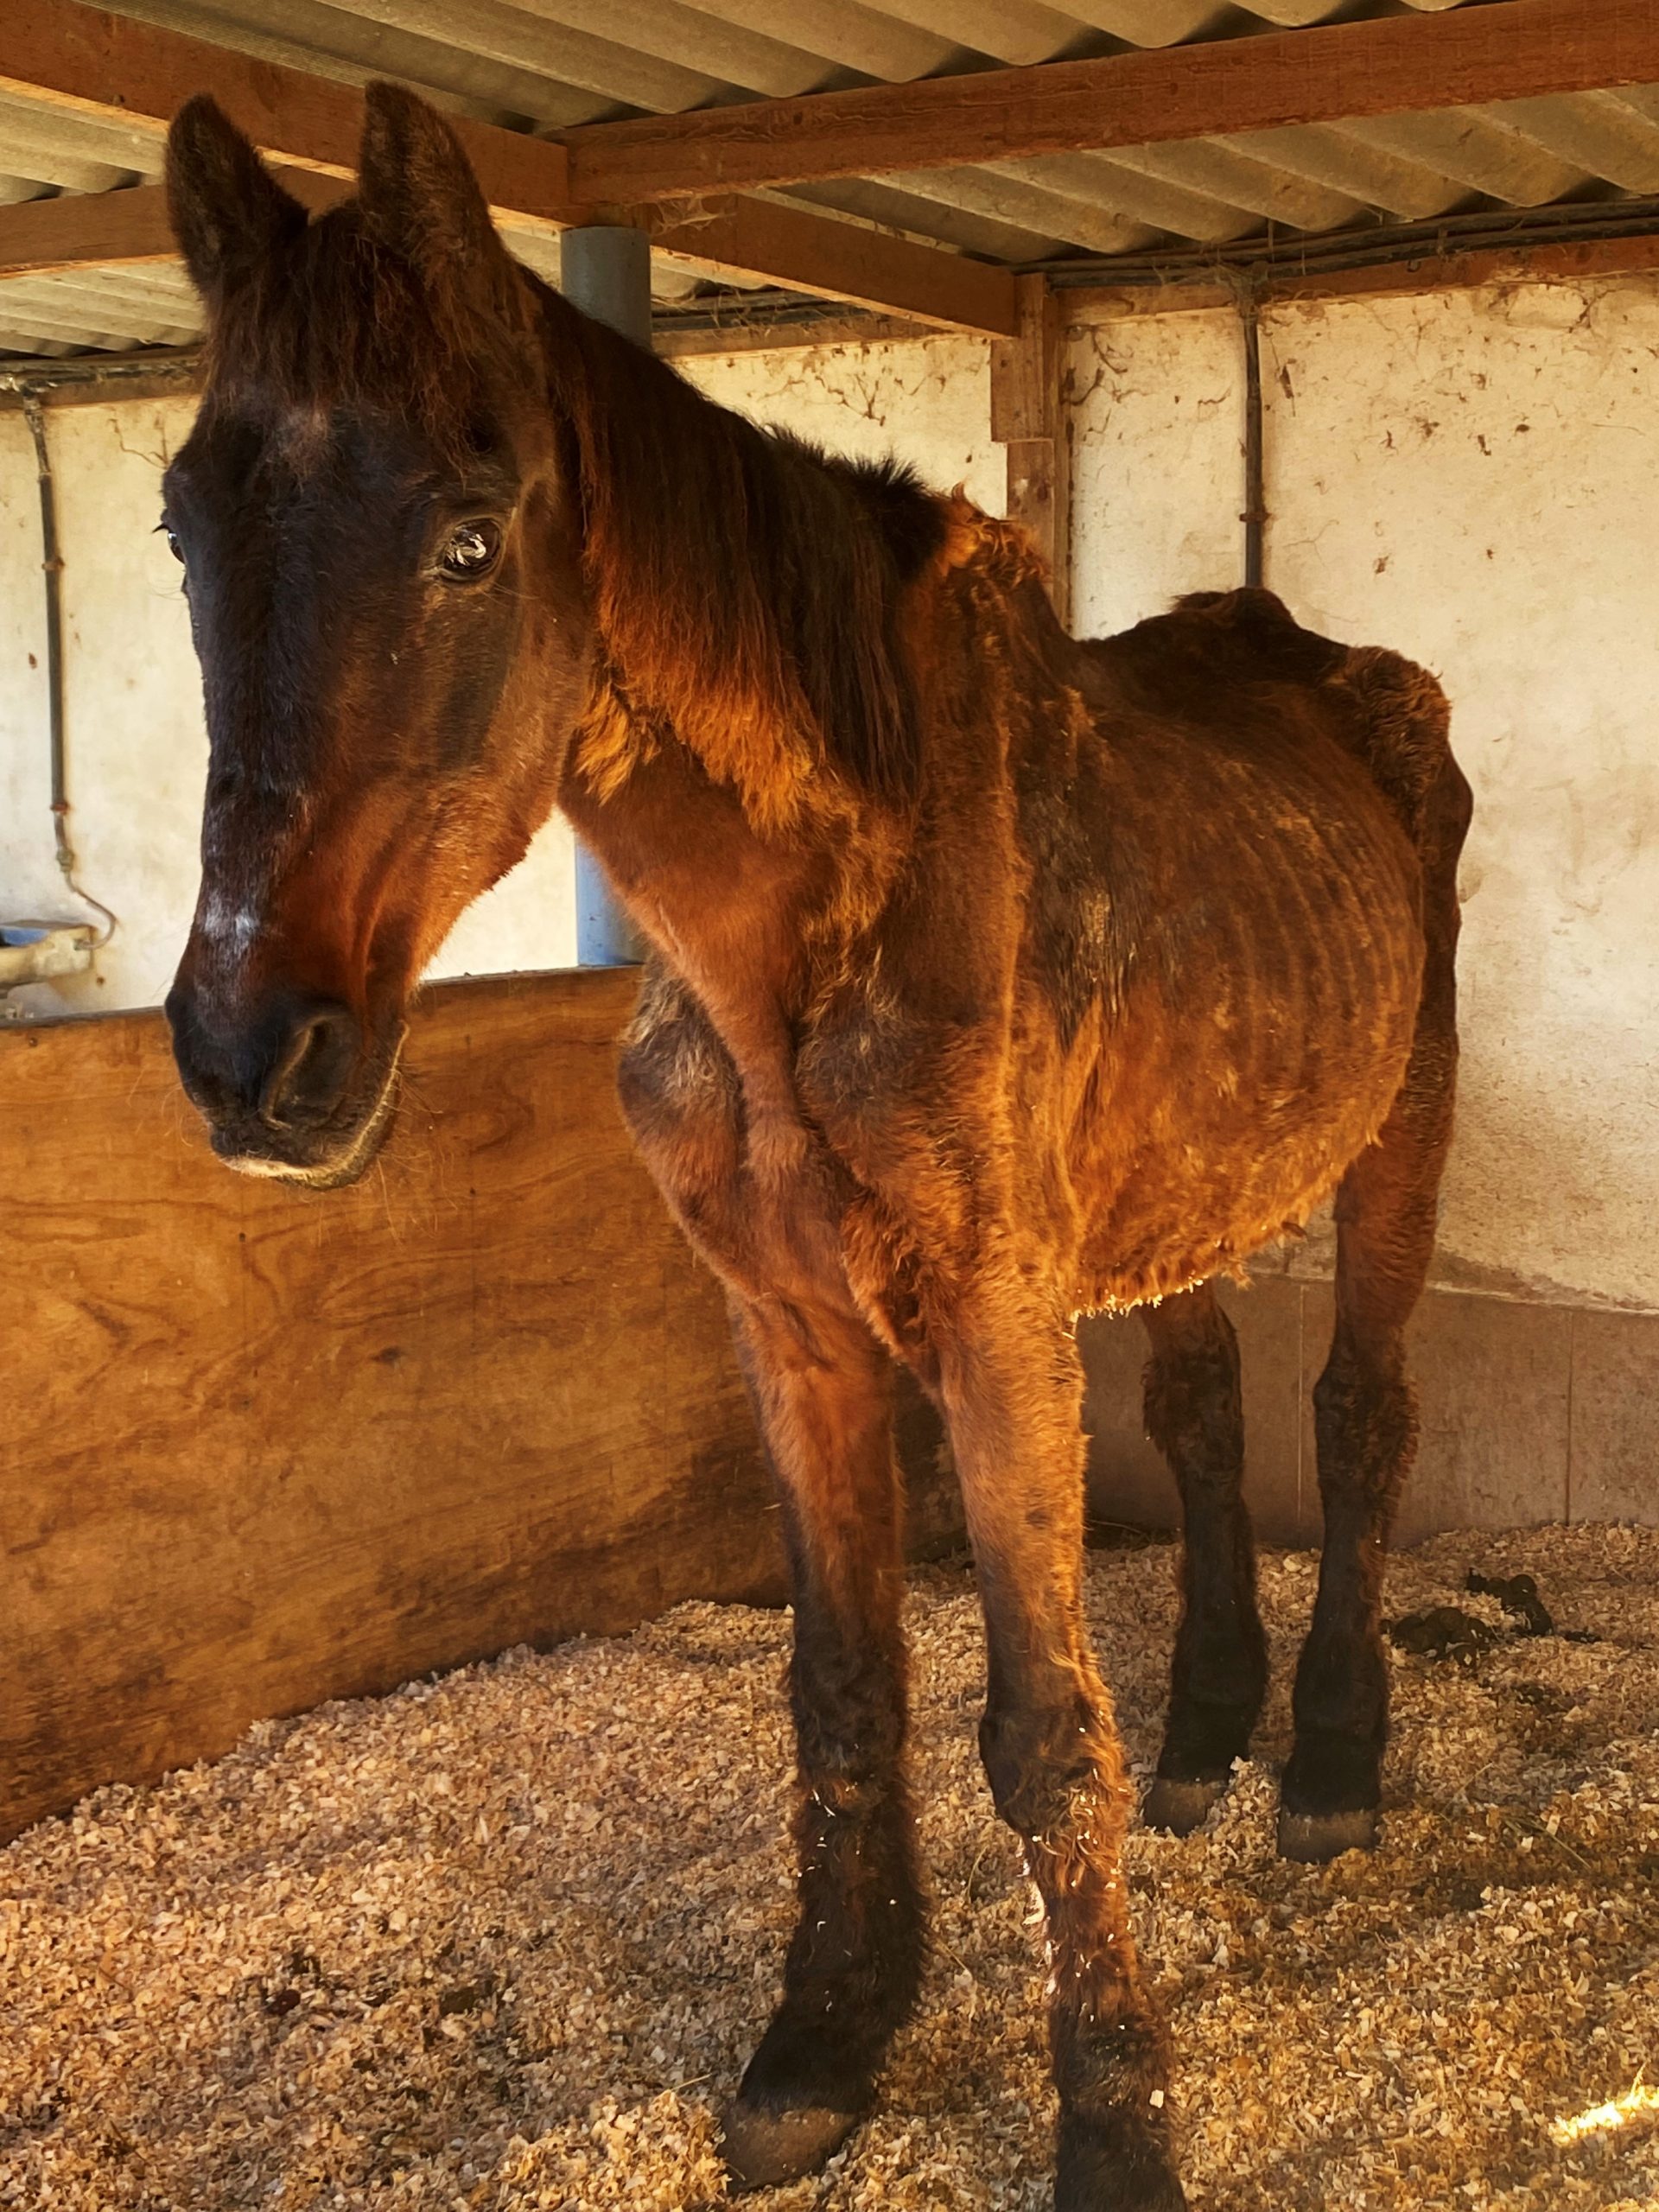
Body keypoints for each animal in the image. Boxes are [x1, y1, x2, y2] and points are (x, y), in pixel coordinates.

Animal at [159, 86, 1471, 2212]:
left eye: (466, 538)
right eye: (185, 536)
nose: (249, 1054)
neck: (801, 937)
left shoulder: (996, 1332)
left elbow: (1042, 1733)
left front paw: (1116, 2116)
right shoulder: (790, 1333)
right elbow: (842, 1690)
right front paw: (826, 2039)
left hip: (1399, 1131)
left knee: (1358, 1413)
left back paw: (1335, 1768)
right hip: (1183, 1198)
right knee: (1204, 1417)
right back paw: (1215, 1733)